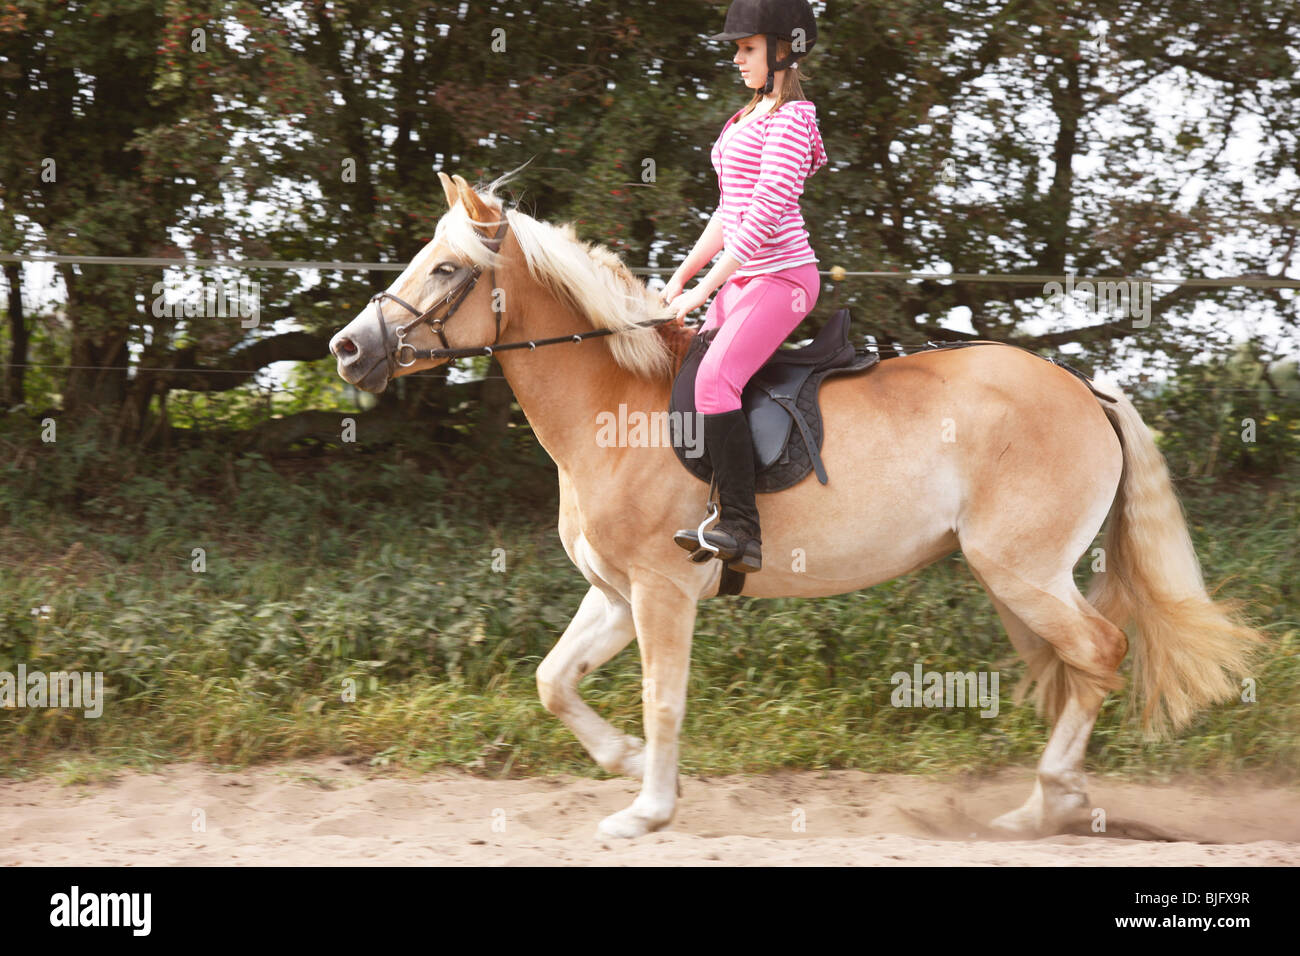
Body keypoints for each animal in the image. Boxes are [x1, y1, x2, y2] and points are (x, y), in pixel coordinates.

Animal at [329, 170, 1265, 840]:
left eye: (448, 268)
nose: (346, 350)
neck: (614, 404)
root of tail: (1085, 389)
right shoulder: (616, 595)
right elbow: (554, 680)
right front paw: (626, 764)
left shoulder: (663, 592)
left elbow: (663, 697)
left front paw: (647, 811)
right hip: (1015, 581)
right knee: (1075, 664)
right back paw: (1047, 807)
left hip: (1022, 571)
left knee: (1099, 651)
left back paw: (1048, 802)